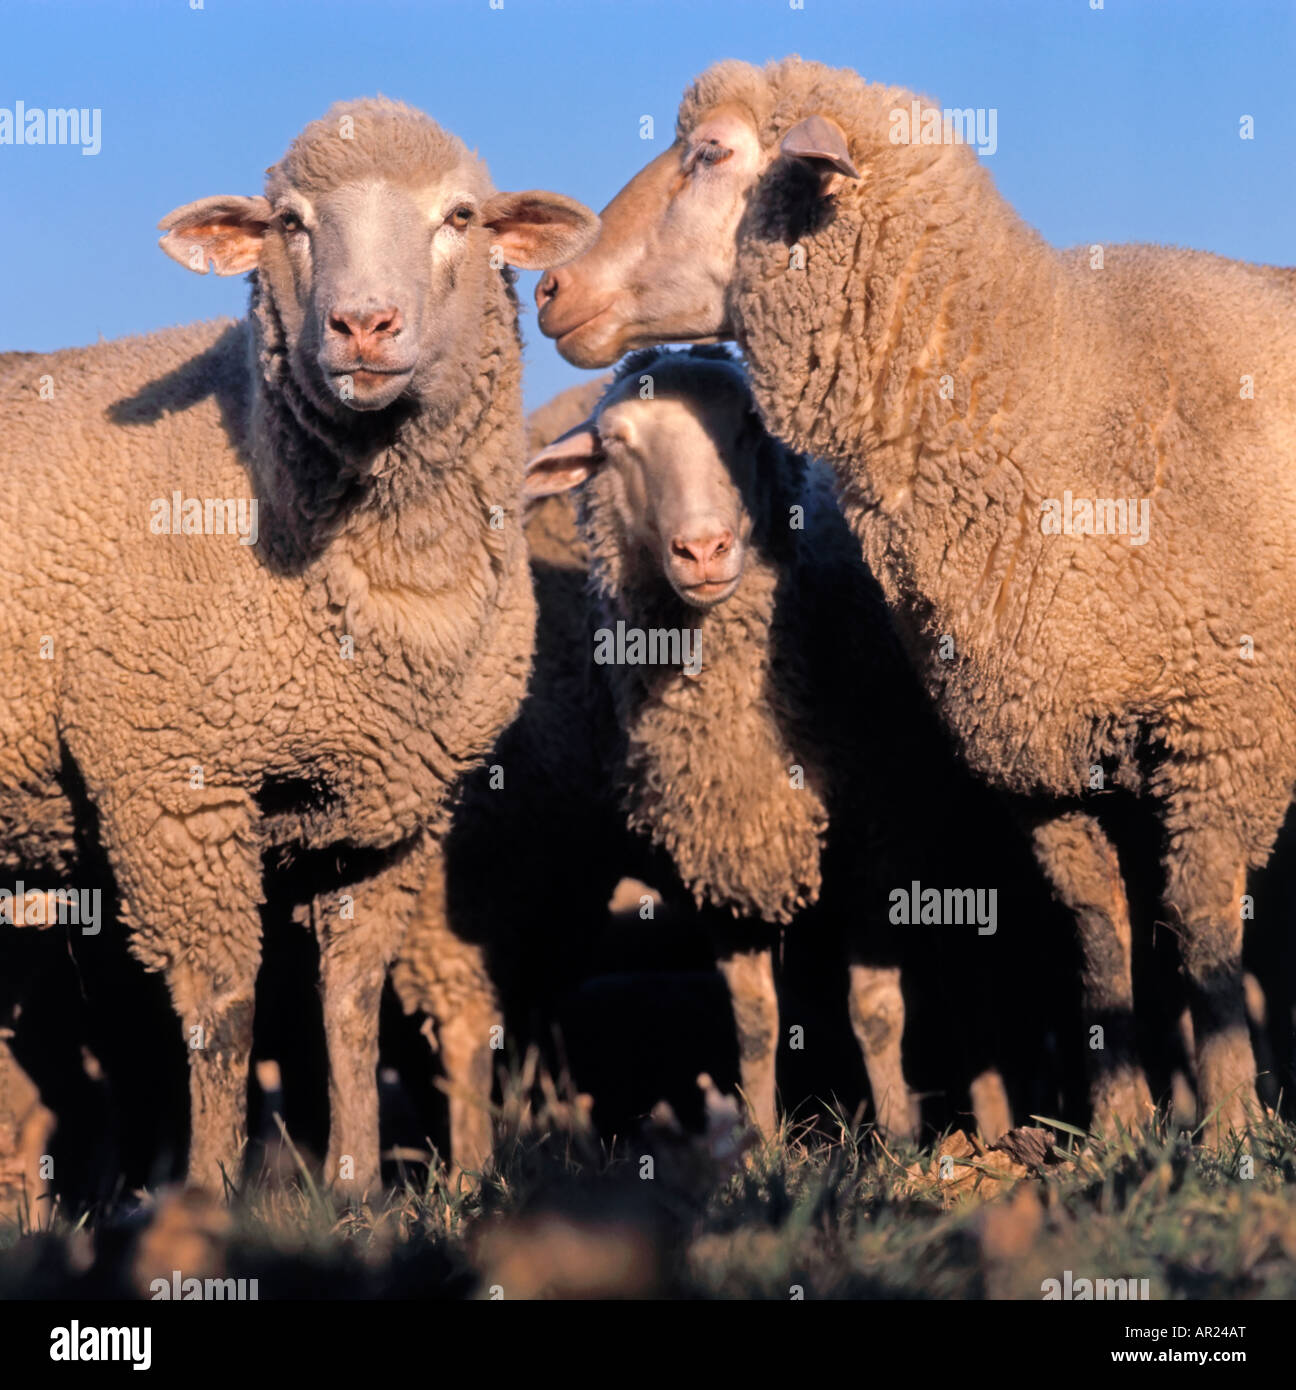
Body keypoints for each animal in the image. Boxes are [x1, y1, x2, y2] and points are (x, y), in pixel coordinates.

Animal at [0, 96, 598, 1193]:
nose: (362, 325)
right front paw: (208, 1189)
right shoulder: (175, 791)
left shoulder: (389, 813)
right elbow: (223, 1009)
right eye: (289, 223)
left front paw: (358, 1182)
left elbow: (352, 1001)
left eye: (461, 216)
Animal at [535, 56, 1296, 1138]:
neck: (1064, 402)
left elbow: (1203, 943)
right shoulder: (1038, 755)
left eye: (711, 153)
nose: (550, 288)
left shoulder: (1223, 733)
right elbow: (1100, 940)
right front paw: (1118, 1128)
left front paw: (1231, 1128)